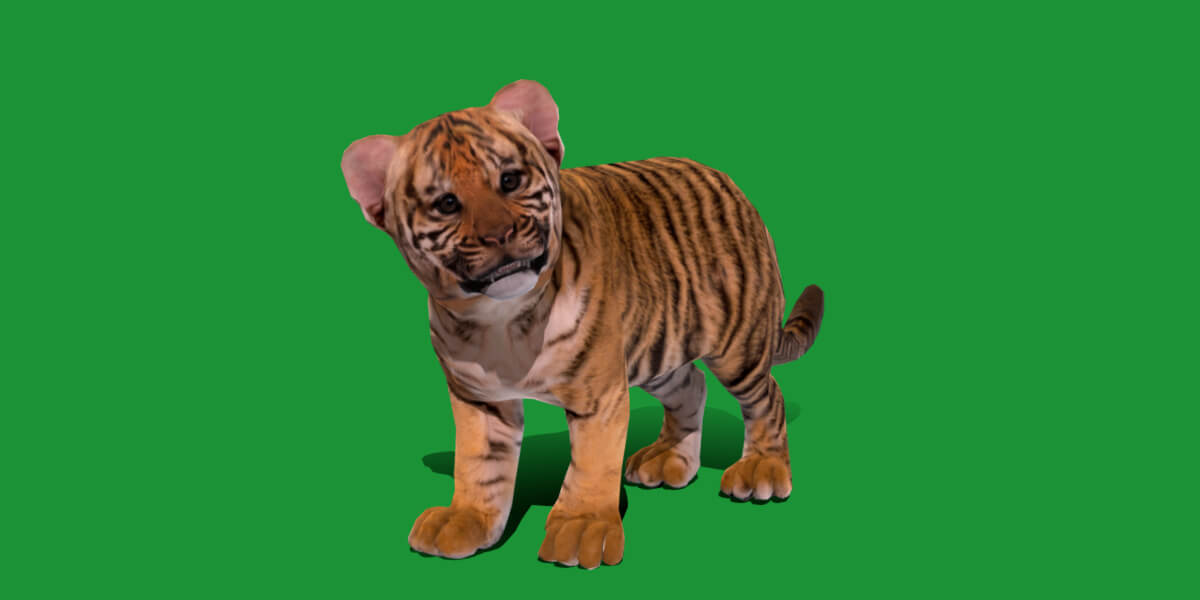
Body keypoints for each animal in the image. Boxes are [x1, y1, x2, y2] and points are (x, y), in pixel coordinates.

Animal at [340, 80, 824, 569]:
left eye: (510, 180)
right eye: (446, 204)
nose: (498, 234)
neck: (500, 321)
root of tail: (725, 179)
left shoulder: (599, 394)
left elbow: (592, 464)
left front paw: (581, 528)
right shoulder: (480, 400)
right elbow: (479, 466)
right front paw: (465, 520)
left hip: (736, 346)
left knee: (767, 398)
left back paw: (762, 471)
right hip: (657, 354)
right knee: (692, 386)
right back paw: (669, 458)